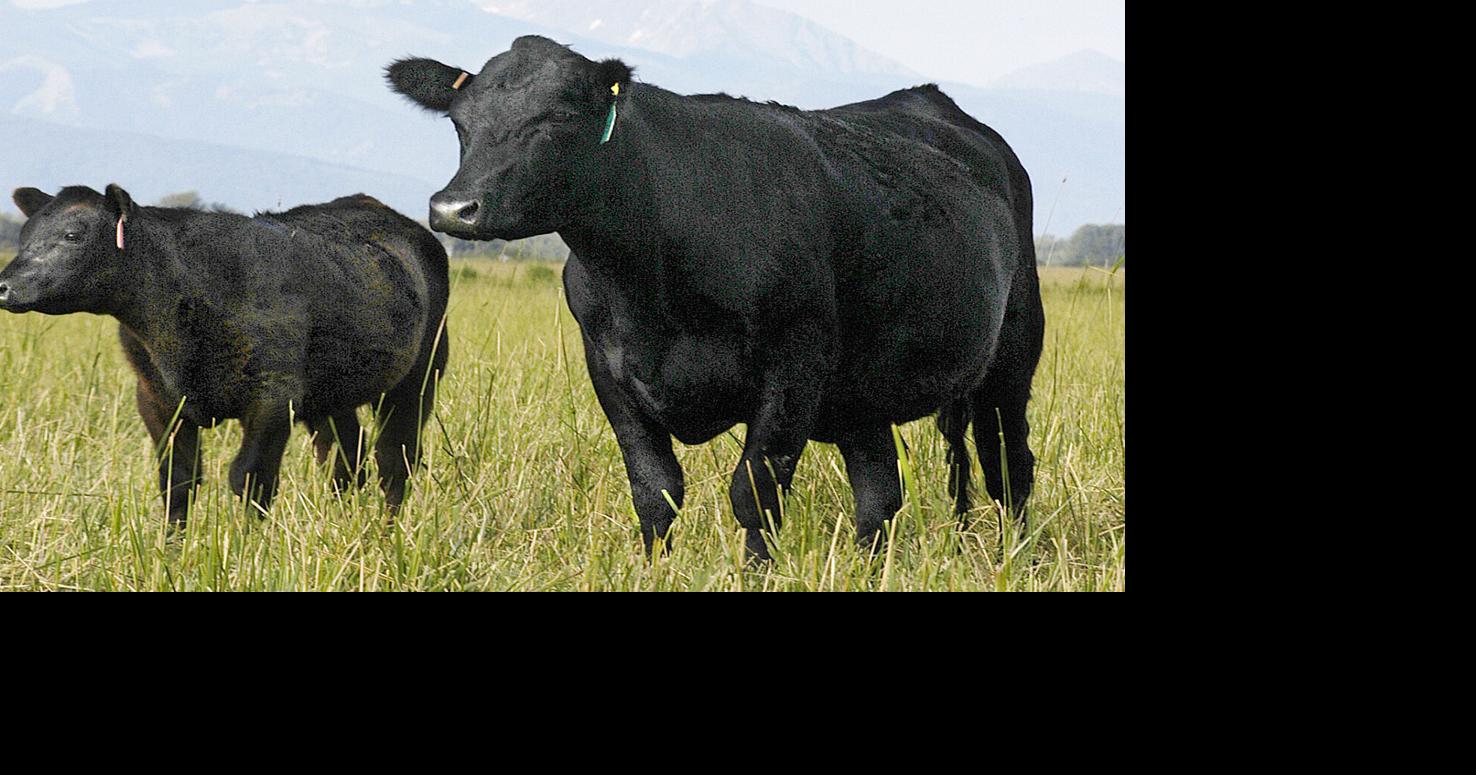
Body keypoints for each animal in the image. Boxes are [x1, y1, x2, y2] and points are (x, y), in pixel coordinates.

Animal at [0, 185, 450, 525]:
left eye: (73, 234)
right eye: (24, 237)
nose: (4, 286)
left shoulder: (273, 398)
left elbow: (250, 478)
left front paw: (248, 550)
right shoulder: (155, 398)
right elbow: (178, 482)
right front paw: (173, 553)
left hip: (418, 380)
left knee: (394, 462)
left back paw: (386, 534)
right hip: (332, 396)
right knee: (345, 461)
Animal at [387, 36, 1044, 560]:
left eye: (556, 119)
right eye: (460, 123)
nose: (454, 208)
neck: (649, 290)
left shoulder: (793, 366)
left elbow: (754, 491)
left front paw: (756, 573)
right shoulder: (608, 370)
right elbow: (655, 492)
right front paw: (654, 571)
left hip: (1011, 357)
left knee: (1008, 468)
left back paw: (1013, 558)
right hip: (860, 396)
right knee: (880, 489)